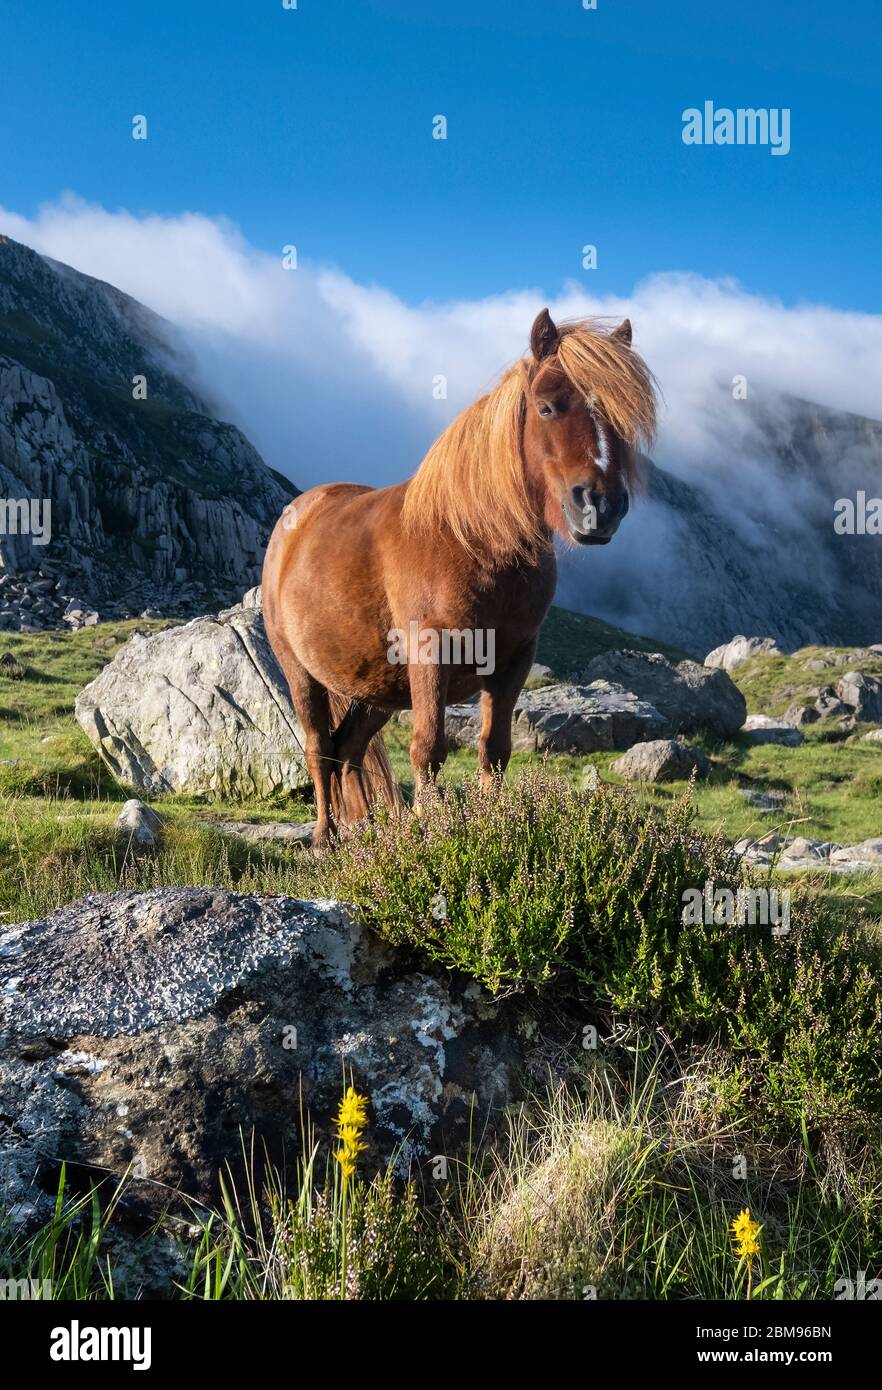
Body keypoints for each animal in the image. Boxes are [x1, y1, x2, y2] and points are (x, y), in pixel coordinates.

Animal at [262, 308, 657, 846]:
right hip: (302, 675)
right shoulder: (431, 656)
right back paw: (326, 839)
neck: (470, 539)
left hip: (378, 689)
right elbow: (428, 749)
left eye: (621, 418)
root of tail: (296, 517)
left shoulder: (512, 662)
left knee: (348, 750)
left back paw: (366, 840)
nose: (600, 507)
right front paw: (431, 838)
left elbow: (495, 749)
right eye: (547, 407)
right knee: (319, 748)